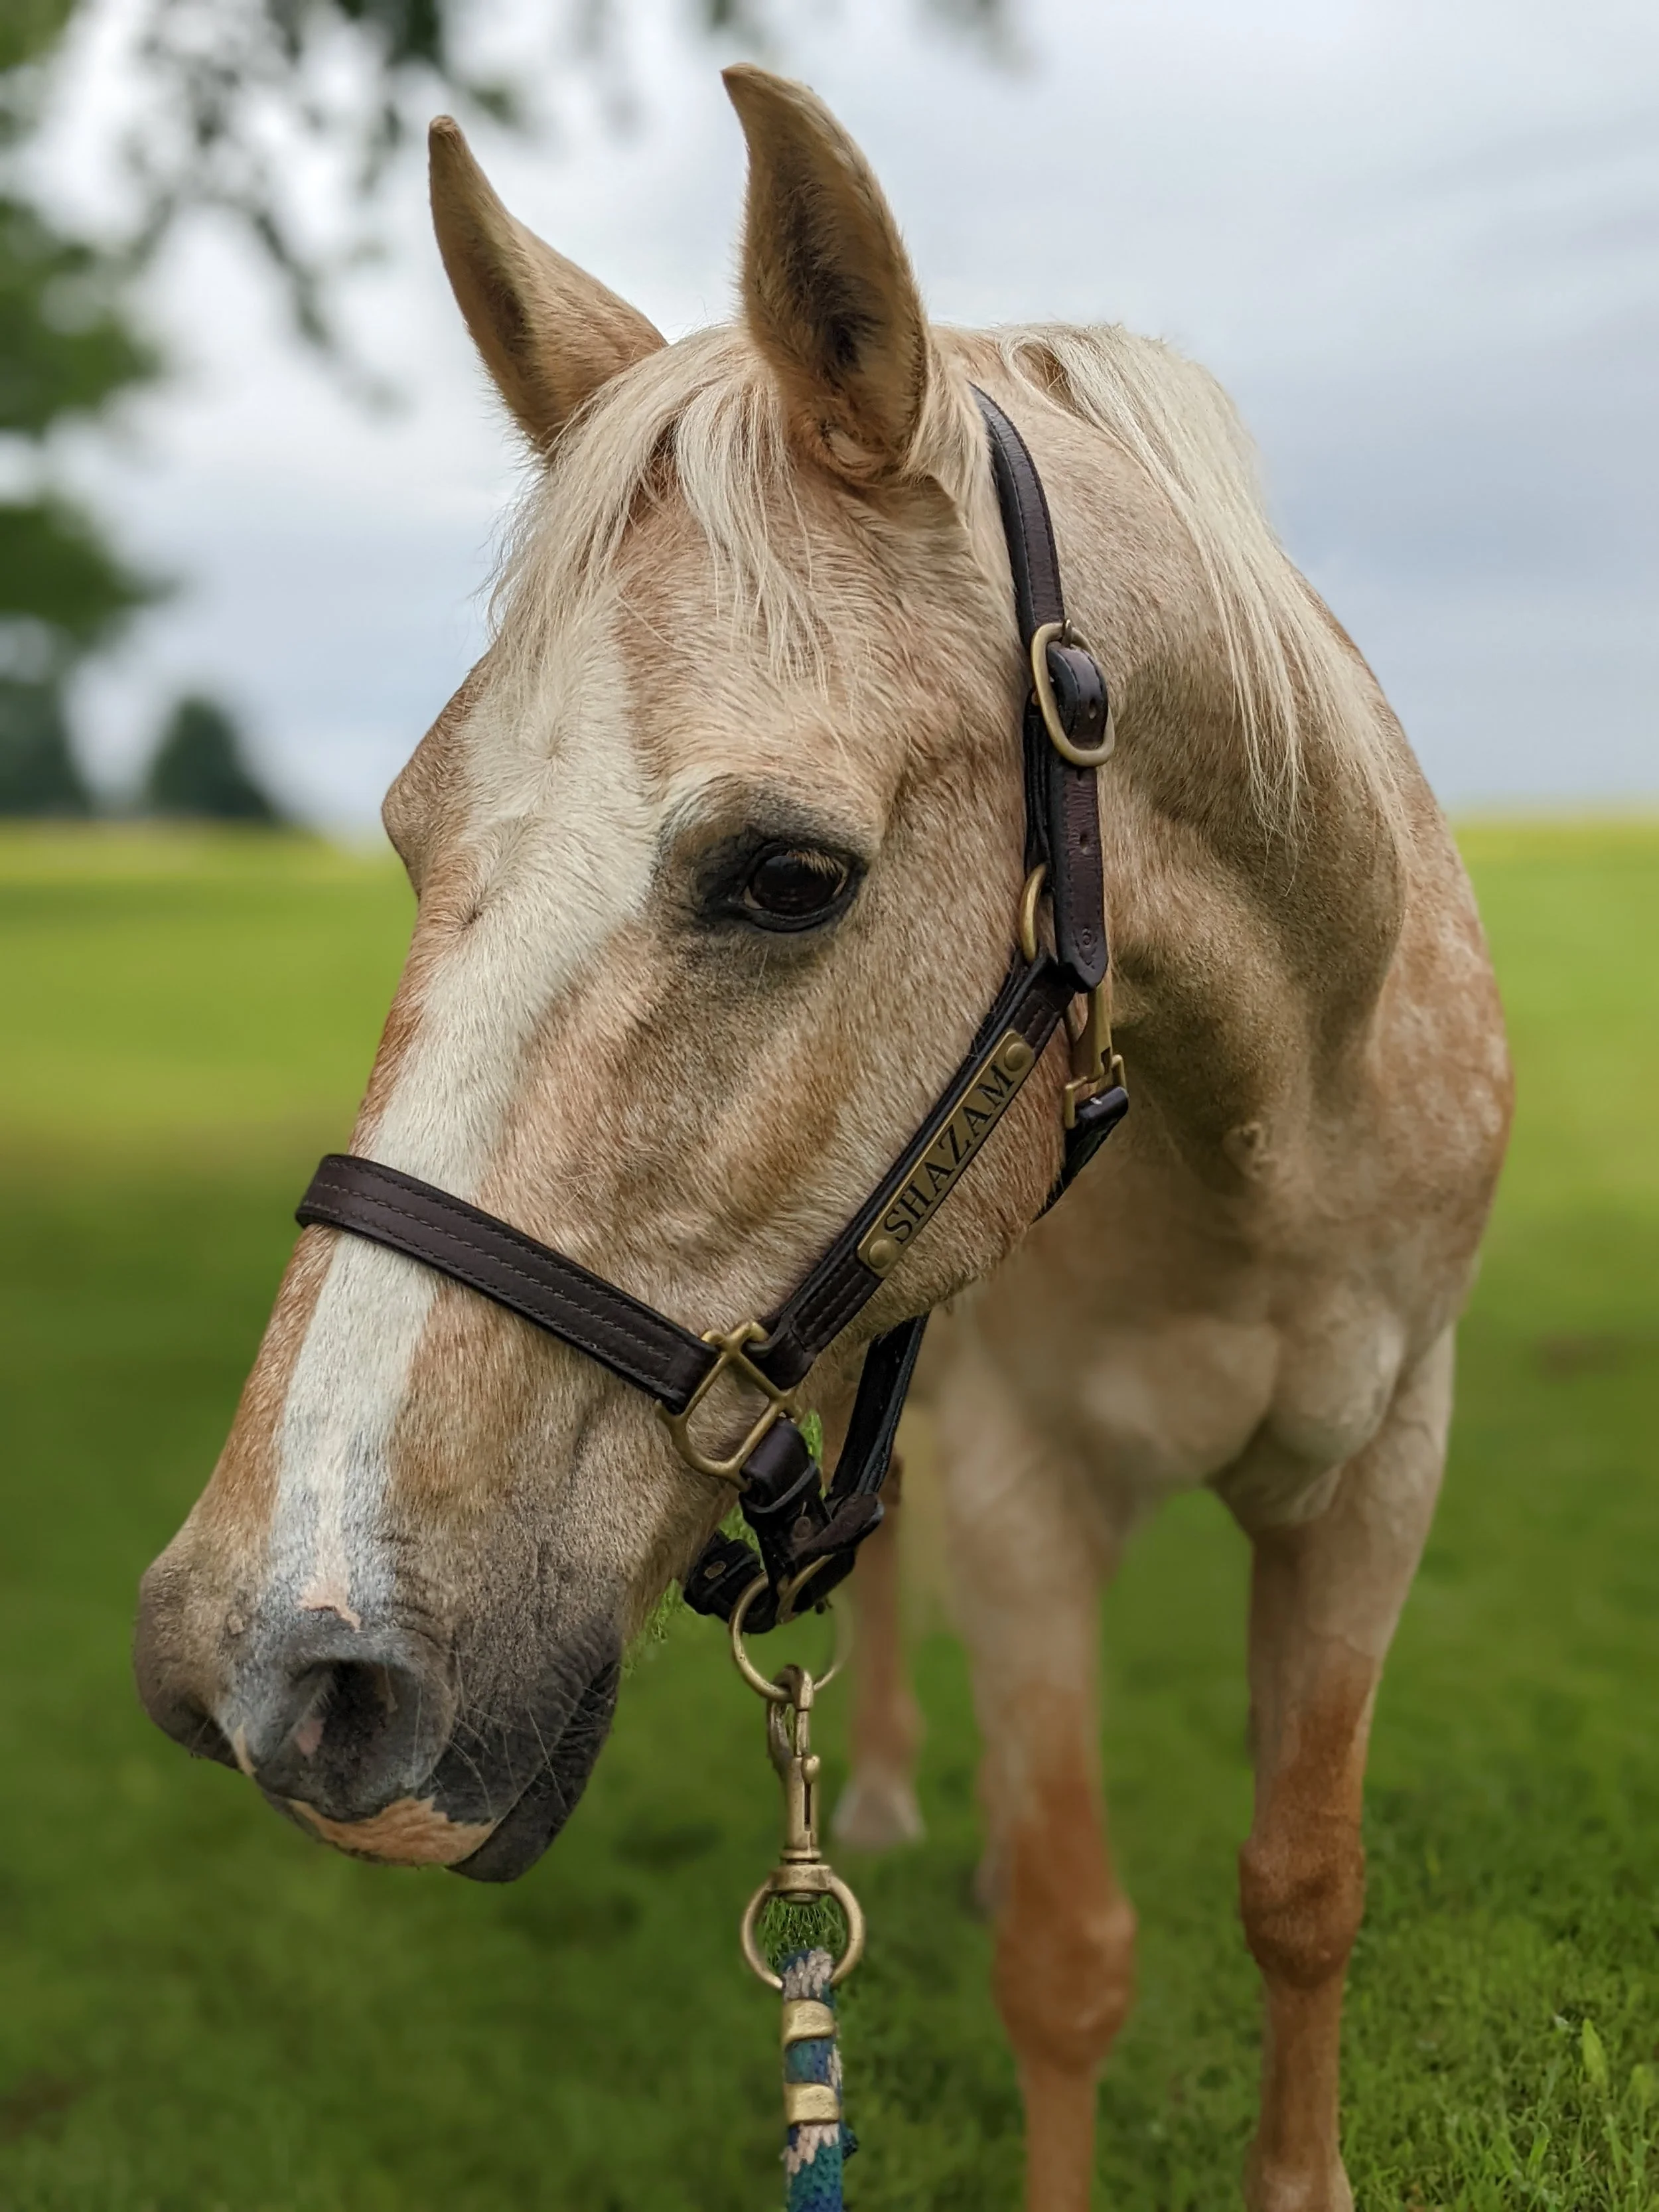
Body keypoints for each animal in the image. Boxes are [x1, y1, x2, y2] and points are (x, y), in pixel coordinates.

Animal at [135, 66, 1512, 2211]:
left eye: (788, 875)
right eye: (408, 833)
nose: (270, 1659)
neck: (1263, 1138)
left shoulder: (1376, 1471)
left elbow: (1302, 1879)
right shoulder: (1033, 1483)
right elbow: (1067, 1953)